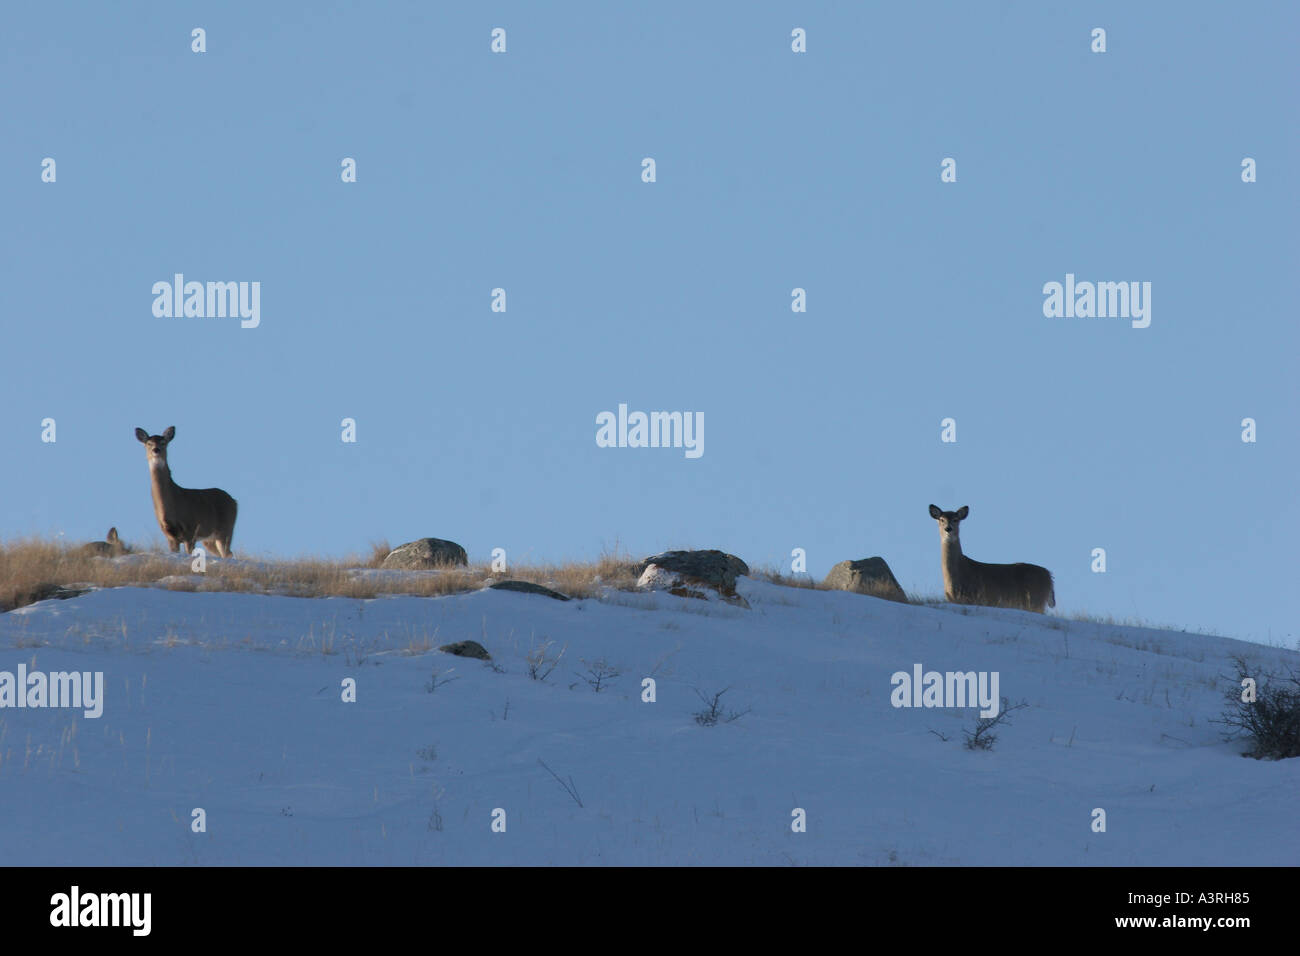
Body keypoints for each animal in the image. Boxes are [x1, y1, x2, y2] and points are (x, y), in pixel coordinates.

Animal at [135, 426, 238, 558]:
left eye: (163, 442)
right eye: (149, 443)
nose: (156, 450)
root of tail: (234, 501)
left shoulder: (190, 529)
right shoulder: (169, 535)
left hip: (226, 529)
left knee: (227, 553)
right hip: (209, 539)